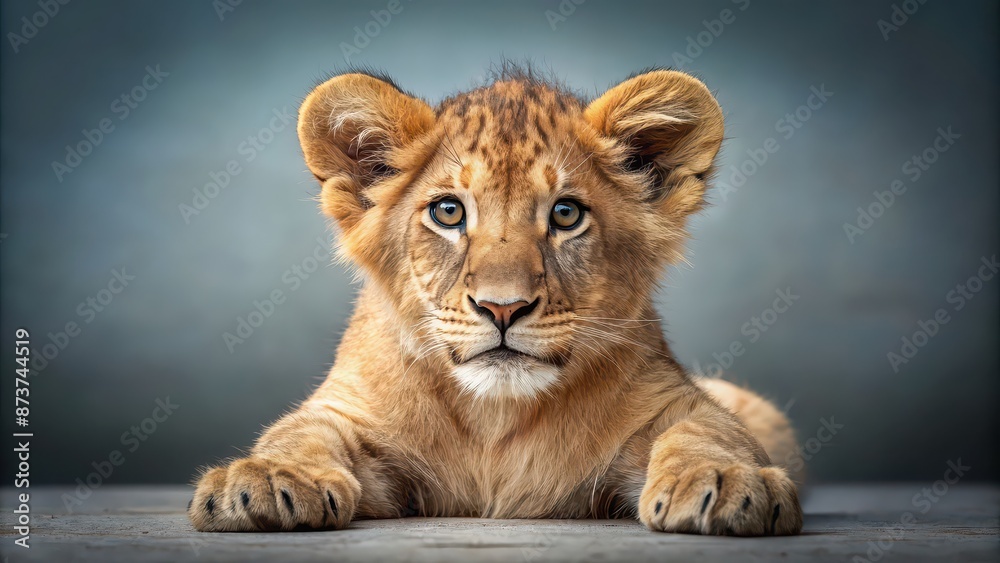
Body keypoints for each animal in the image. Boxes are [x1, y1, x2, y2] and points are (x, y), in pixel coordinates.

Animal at [188, 66, 804, 536]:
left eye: (565, 214)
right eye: (448, 212)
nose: (502, 308)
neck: (496, 419)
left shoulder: (677, 402)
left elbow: (709, 433)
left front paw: (725, 481)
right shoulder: (352, 416)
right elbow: (301, 431)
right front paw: (268, 478)